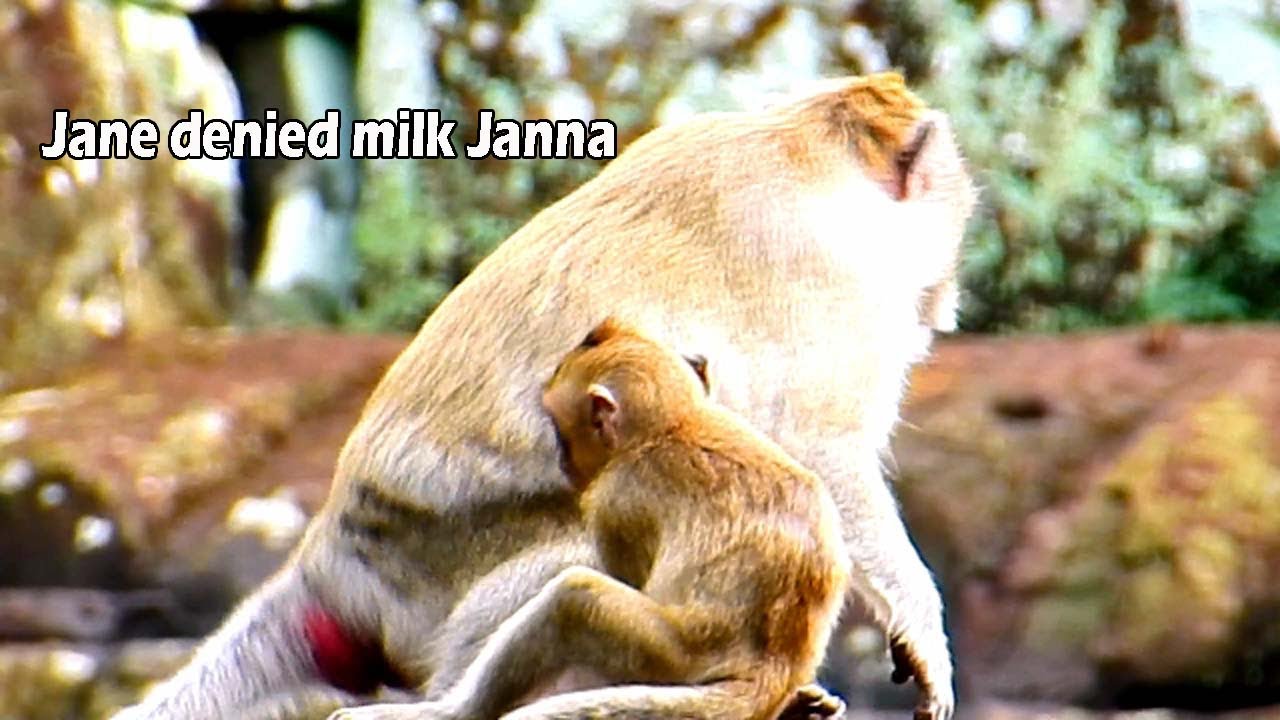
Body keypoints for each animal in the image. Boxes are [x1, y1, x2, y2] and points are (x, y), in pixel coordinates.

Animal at [326, 317, 851, 720]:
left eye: (562, 429)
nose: (563, 460)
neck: (674, 423)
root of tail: (771, 670)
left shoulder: (615, 500)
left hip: (672, 658)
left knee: (575, 599)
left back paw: (450, 712)